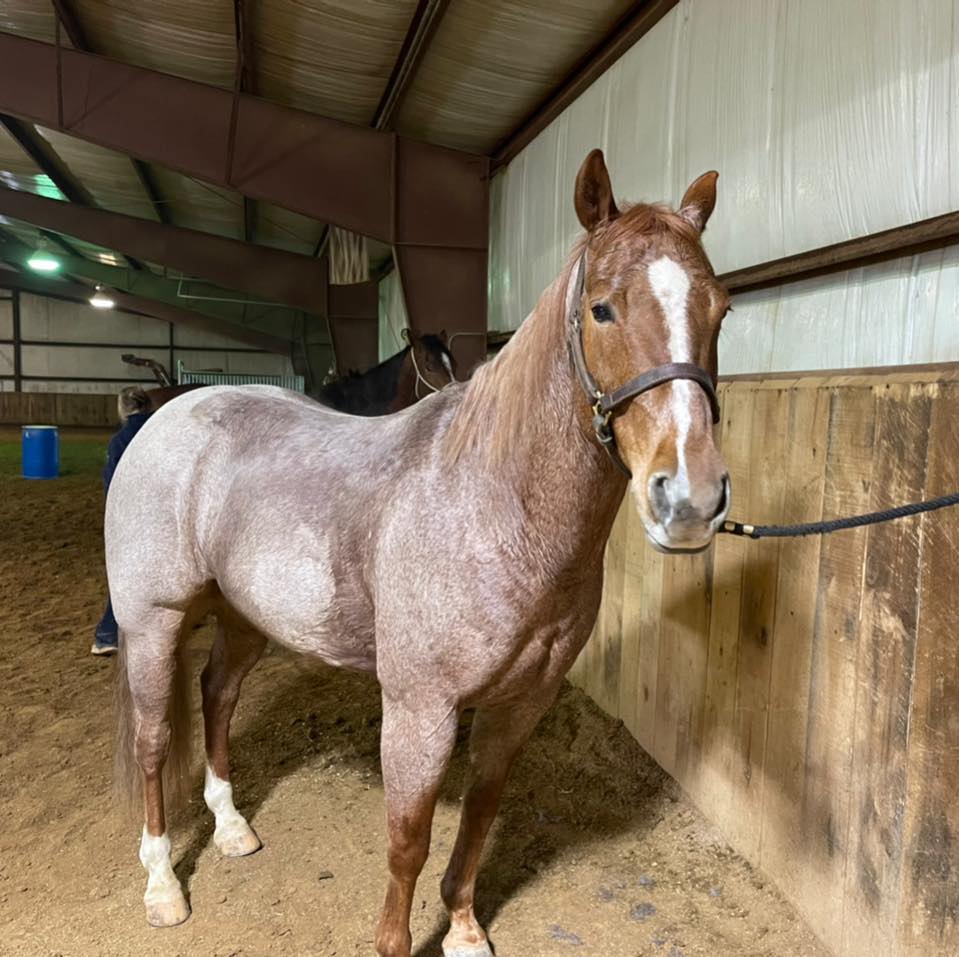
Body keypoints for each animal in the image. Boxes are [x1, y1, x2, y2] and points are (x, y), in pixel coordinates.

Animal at [106, 149, 731, 957]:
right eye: (602, 308)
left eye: (720, 310)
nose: (689, 499)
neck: (491, 503)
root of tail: (166, 412)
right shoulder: (418, 712)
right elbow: (408, 841)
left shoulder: (517, 708)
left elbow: (478, 820)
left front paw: (463, 928)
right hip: (152, 623)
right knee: (155, 740)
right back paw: (161, 884)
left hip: (244, 617)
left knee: (217, 695)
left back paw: (234, 828)